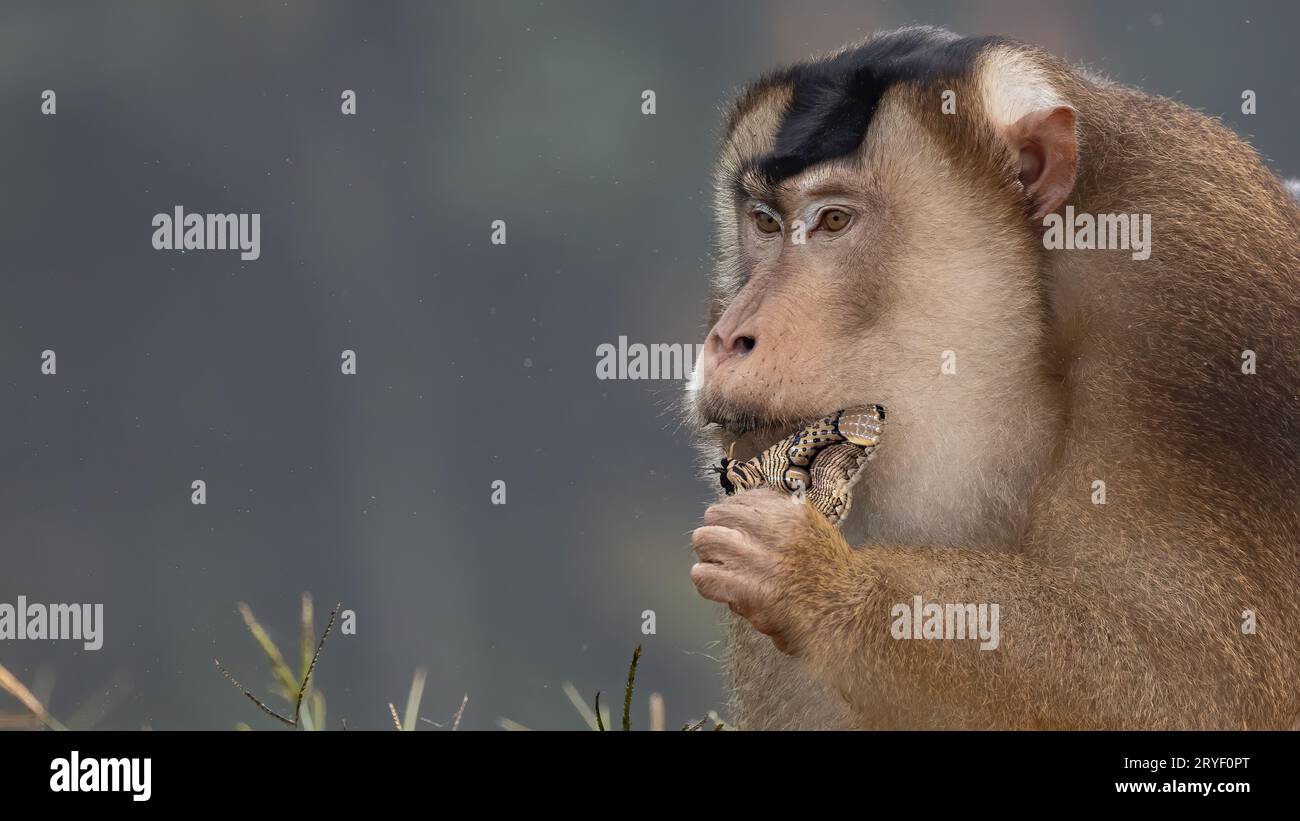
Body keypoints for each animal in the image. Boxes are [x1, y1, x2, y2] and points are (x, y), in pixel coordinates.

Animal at [685, 27, 1300, 729]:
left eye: (833, 220)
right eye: (765, 220)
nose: (730, 337)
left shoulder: (1190, 308)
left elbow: (1199, 688)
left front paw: (818, 582)